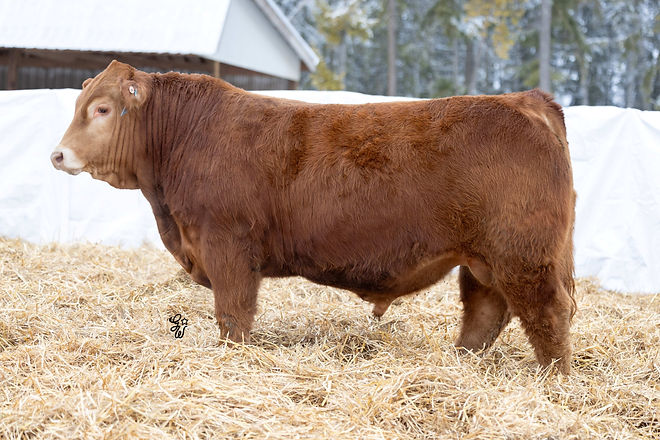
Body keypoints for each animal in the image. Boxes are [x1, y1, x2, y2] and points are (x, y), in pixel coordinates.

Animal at [51, 61, 577, 373]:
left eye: (102, 109)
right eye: (79, 105)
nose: (57, 155)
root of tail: (524, 101)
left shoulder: (227, 246)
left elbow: (233, 313)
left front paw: (232, 356)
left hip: (522, 254)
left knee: (547, 311)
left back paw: (553, 378)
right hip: (484, 258)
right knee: (486, 311)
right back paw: (462, 362)